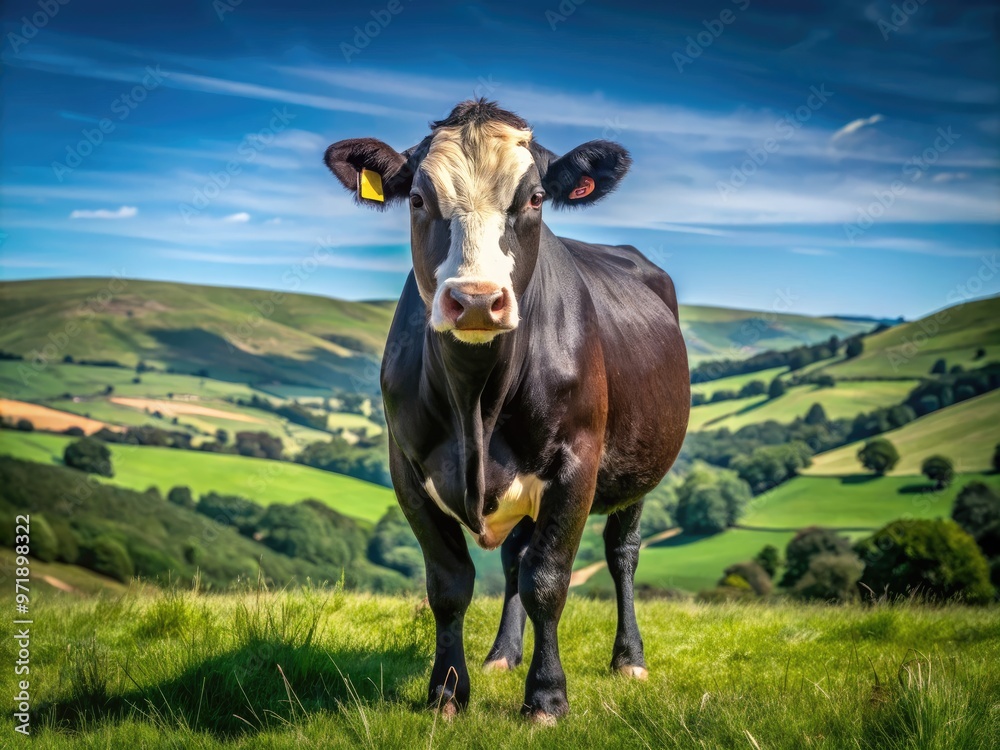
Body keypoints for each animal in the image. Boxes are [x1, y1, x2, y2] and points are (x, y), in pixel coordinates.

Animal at [324, 99, 689, 723]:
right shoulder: (408, 467)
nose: (475, 300)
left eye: (537, 198)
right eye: (417, 198)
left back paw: (629, 658)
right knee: (515, 556)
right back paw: (502, 654)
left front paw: (546, 697)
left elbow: (549, 580)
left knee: (621, 554)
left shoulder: (576, 463)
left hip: (638, 469)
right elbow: (450, 585)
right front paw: (448, 692)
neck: (477, 402)